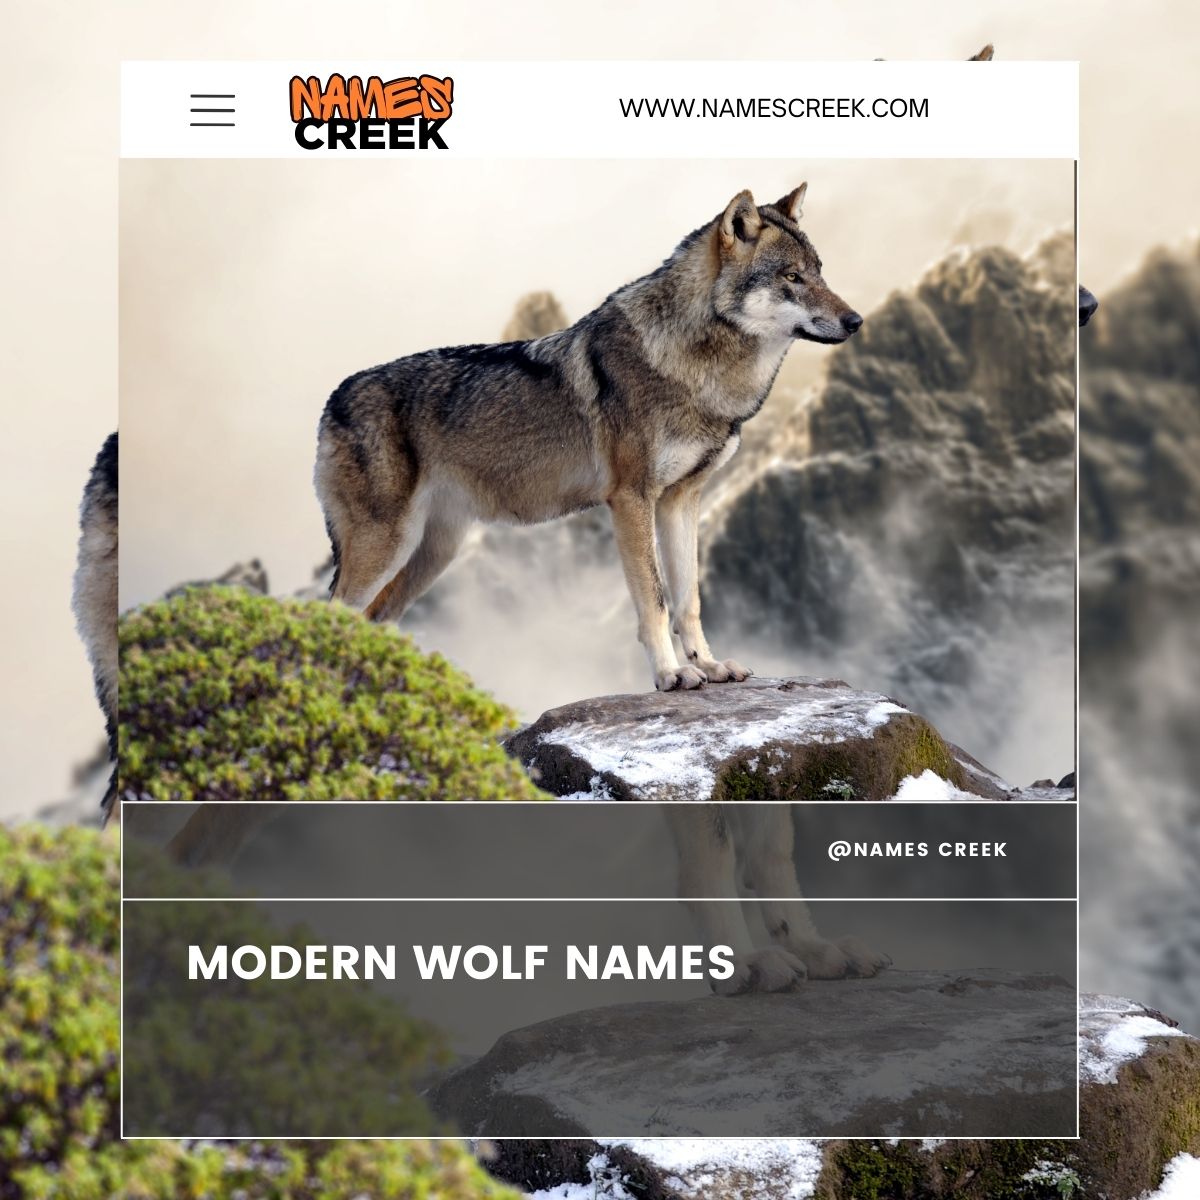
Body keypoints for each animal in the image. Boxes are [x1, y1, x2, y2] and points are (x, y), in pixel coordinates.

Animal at [315, 184, 862, 693]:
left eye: (820, 271)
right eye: (791, 277)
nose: (856, 321)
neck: (695, 367)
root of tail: (332, 398)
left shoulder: (681, 501)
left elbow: (689, 599)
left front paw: (708, 665)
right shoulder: (632, 499)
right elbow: (655, 600)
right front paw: (671, 674)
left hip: (433, 553)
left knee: (375, 619)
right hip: (388, 545)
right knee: (330, 616)